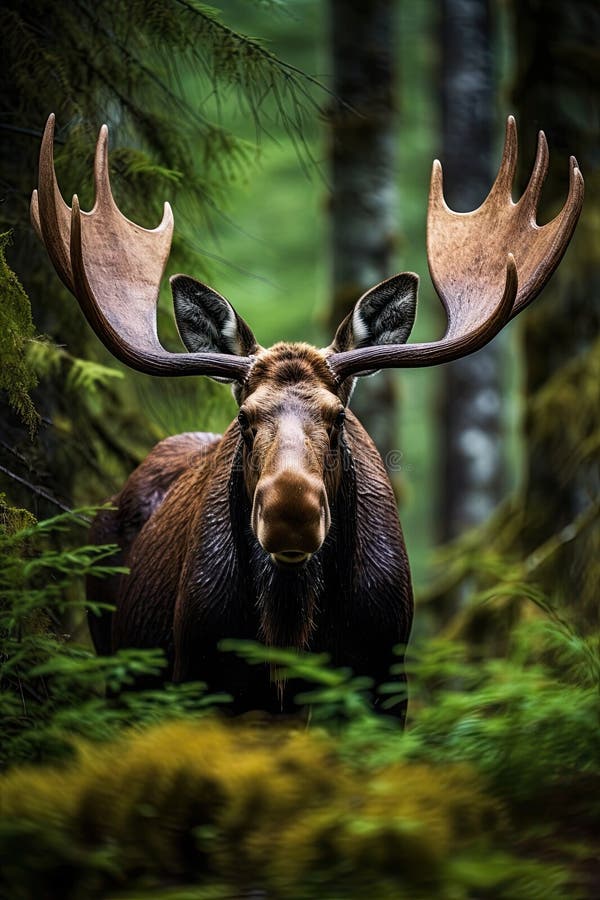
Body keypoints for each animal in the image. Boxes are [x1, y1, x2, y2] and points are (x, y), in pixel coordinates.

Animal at [31, 114, 583, 717]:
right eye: (245, 419)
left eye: (338, 416)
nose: (290, 509)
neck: (290, 636)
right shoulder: (198, 677)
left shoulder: (384, 683)